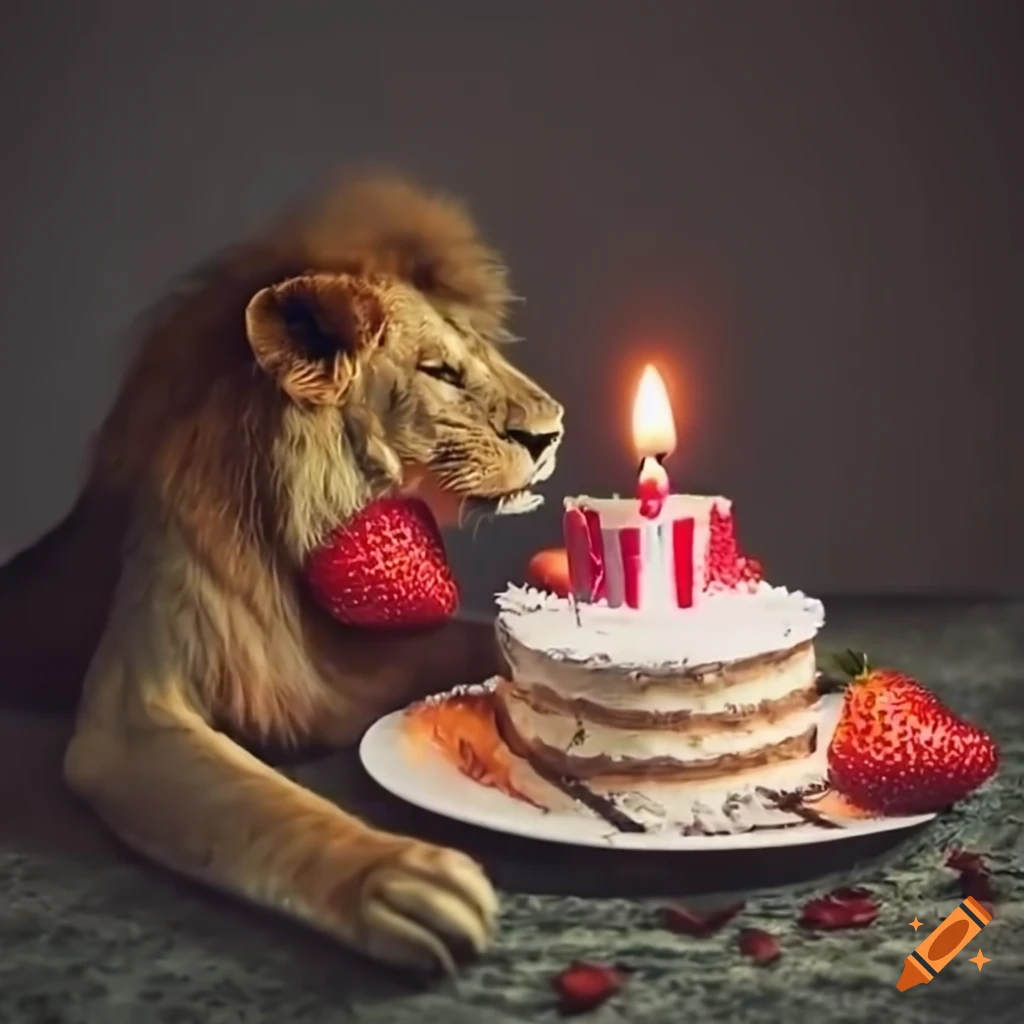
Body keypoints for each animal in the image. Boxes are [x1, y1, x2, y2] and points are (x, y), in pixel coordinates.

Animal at [0, 173, 564, 975]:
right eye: (441, 372)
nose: (553, 433)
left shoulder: (345, 665)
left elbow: (478, 642)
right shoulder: (132, 715)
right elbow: (260, 803)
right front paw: (403, 879)